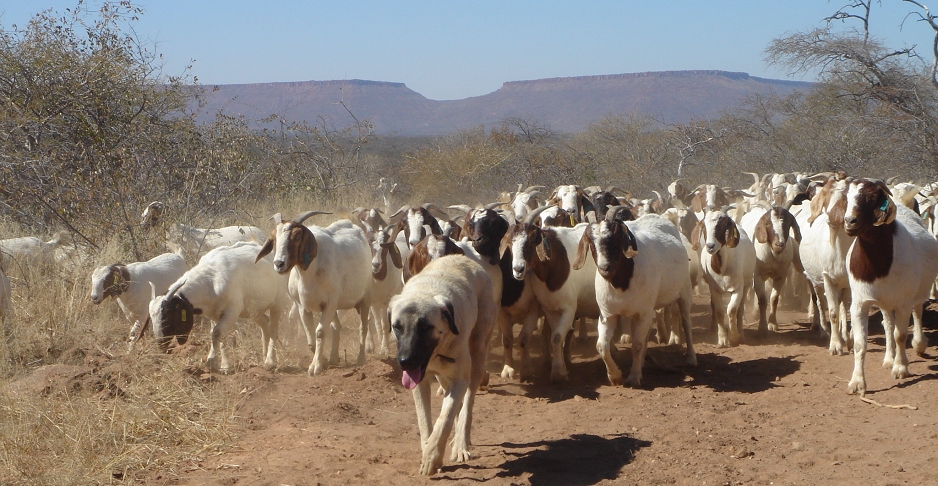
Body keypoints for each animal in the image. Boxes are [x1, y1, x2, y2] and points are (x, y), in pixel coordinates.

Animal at [149, 242, 291, 372]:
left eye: (168, 315)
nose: (161, 344)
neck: (211, 278)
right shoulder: (215, 314)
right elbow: (219, 334)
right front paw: (224, 365)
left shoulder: (232, 311)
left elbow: (217, 333)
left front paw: (212, 362)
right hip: (253, 310)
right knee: (265, 323)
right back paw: (264, 356)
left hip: (277, 302)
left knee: (273, 329)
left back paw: (270, 362)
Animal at [256, 211, 373, 376]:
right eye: (274, 238)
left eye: (297, 236)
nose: (279, 264)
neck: (309, 275)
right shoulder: (303, 307)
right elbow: (310, 338)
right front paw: (323, 361)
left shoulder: (329, 304)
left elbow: (320, 332)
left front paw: (315, 367)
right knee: (336, 326)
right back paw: (334, 358)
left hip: (365, 298)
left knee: (363, 326)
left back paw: (361, 359)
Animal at [573, 209, 697, 387]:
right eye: (590, 241)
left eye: (616, 237)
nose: (605, 267)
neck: (622, 283)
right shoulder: (608, 314)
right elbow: (602, 346)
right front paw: (615, 376)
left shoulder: (643, 312)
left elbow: (637, 345)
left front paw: (633, 377)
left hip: (684, 291)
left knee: (687, 323)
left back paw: (691, 358)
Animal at [843, 179, 938, 396]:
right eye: (846, 197)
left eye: (871, 197)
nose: (849, 221)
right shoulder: (860, 303)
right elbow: (860, 343)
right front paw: (857, 382)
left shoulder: (903, 302)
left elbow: (901, 335)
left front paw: (901, 368)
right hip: (885, 300)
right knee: (887, 324)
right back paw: (888, 358)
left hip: (916, 292)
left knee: (917, 312)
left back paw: (918, 345)